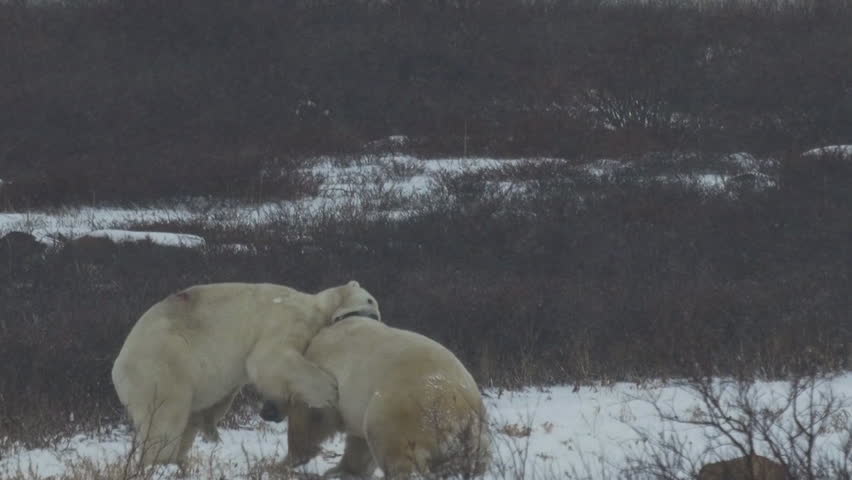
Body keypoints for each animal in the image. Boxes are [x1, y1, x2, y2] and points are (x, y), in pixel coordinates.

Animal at [110, 280, 380, 468]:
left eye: (376, 308)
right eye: (369, 300)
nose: (375, 318)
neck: (317, 307)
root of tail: (117, 367)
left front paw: (274, 409)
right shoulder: (288, 319)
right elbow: (268, 358)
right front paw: (330, 389)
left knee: (190, 420)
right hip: (164, 362)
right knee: (166, 419)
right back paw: (159, 462)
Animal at [259, 313, 492, 479]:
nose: (265, 412)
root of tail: (463, 404)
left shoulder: (321, 373)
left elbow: (311, 419)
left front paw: (281, 463)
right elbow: (358, 443)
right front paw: (342, 471)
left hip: (405, 406)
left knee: (391, 442)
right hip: (476, 433)